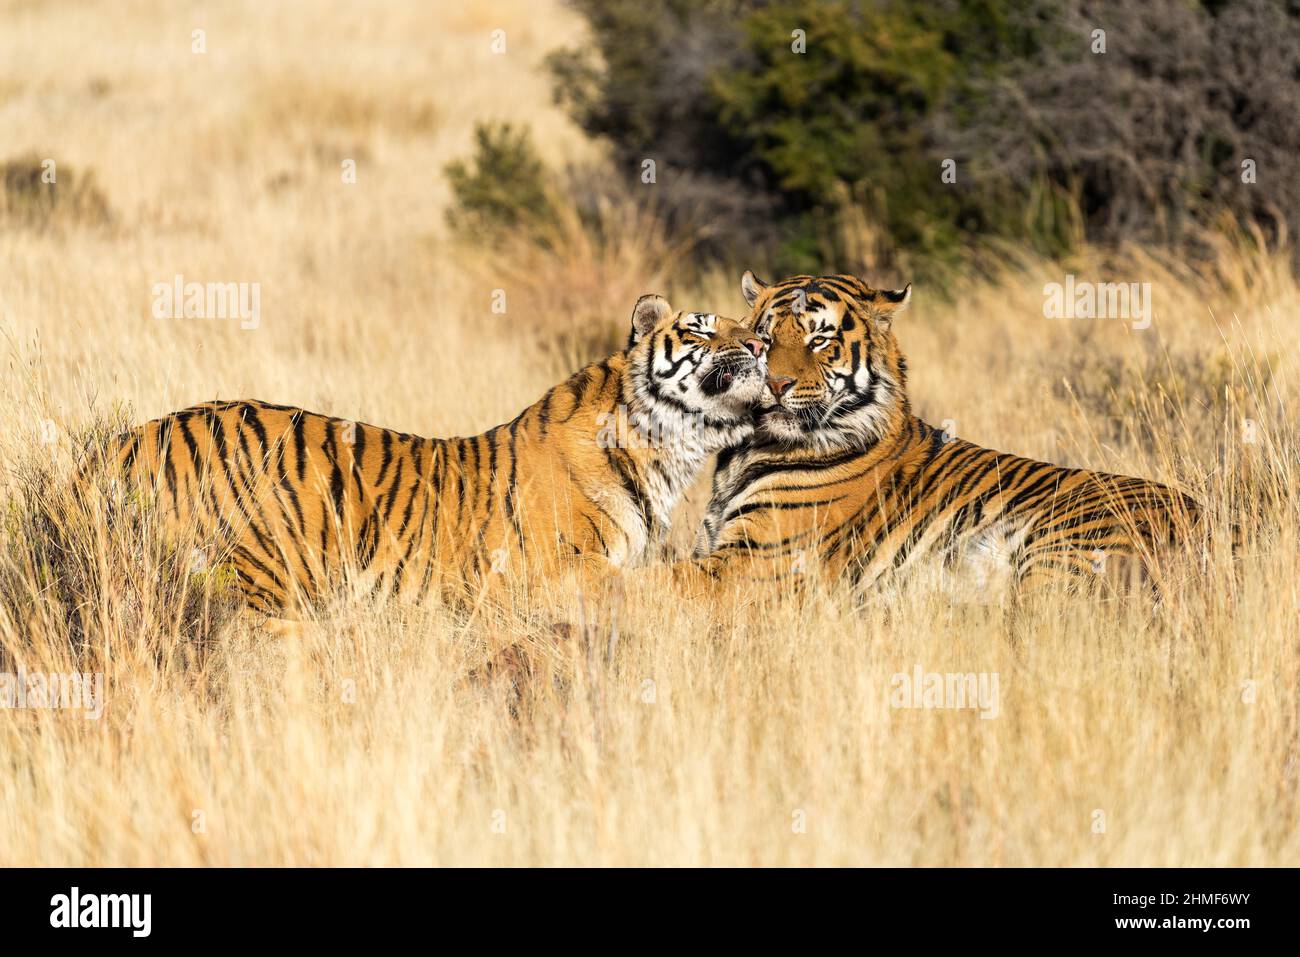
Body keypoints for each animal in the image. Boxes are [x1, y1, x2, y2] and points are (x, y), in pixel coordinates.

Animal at [90, 296, 767, 615]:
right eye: (704, 328)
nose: (761, 344)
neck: (663, 450)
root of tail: (124, 441)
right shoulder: (550, 574)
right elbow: (650, 589)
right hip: (261, 575)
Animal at [684, 272, 1202, 603]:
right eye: (765, 340)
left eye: (820, 340)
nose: (775, 384)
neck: (746, 453)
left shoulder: (753, 560)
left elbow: (667, 586)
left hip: (1054, 553)